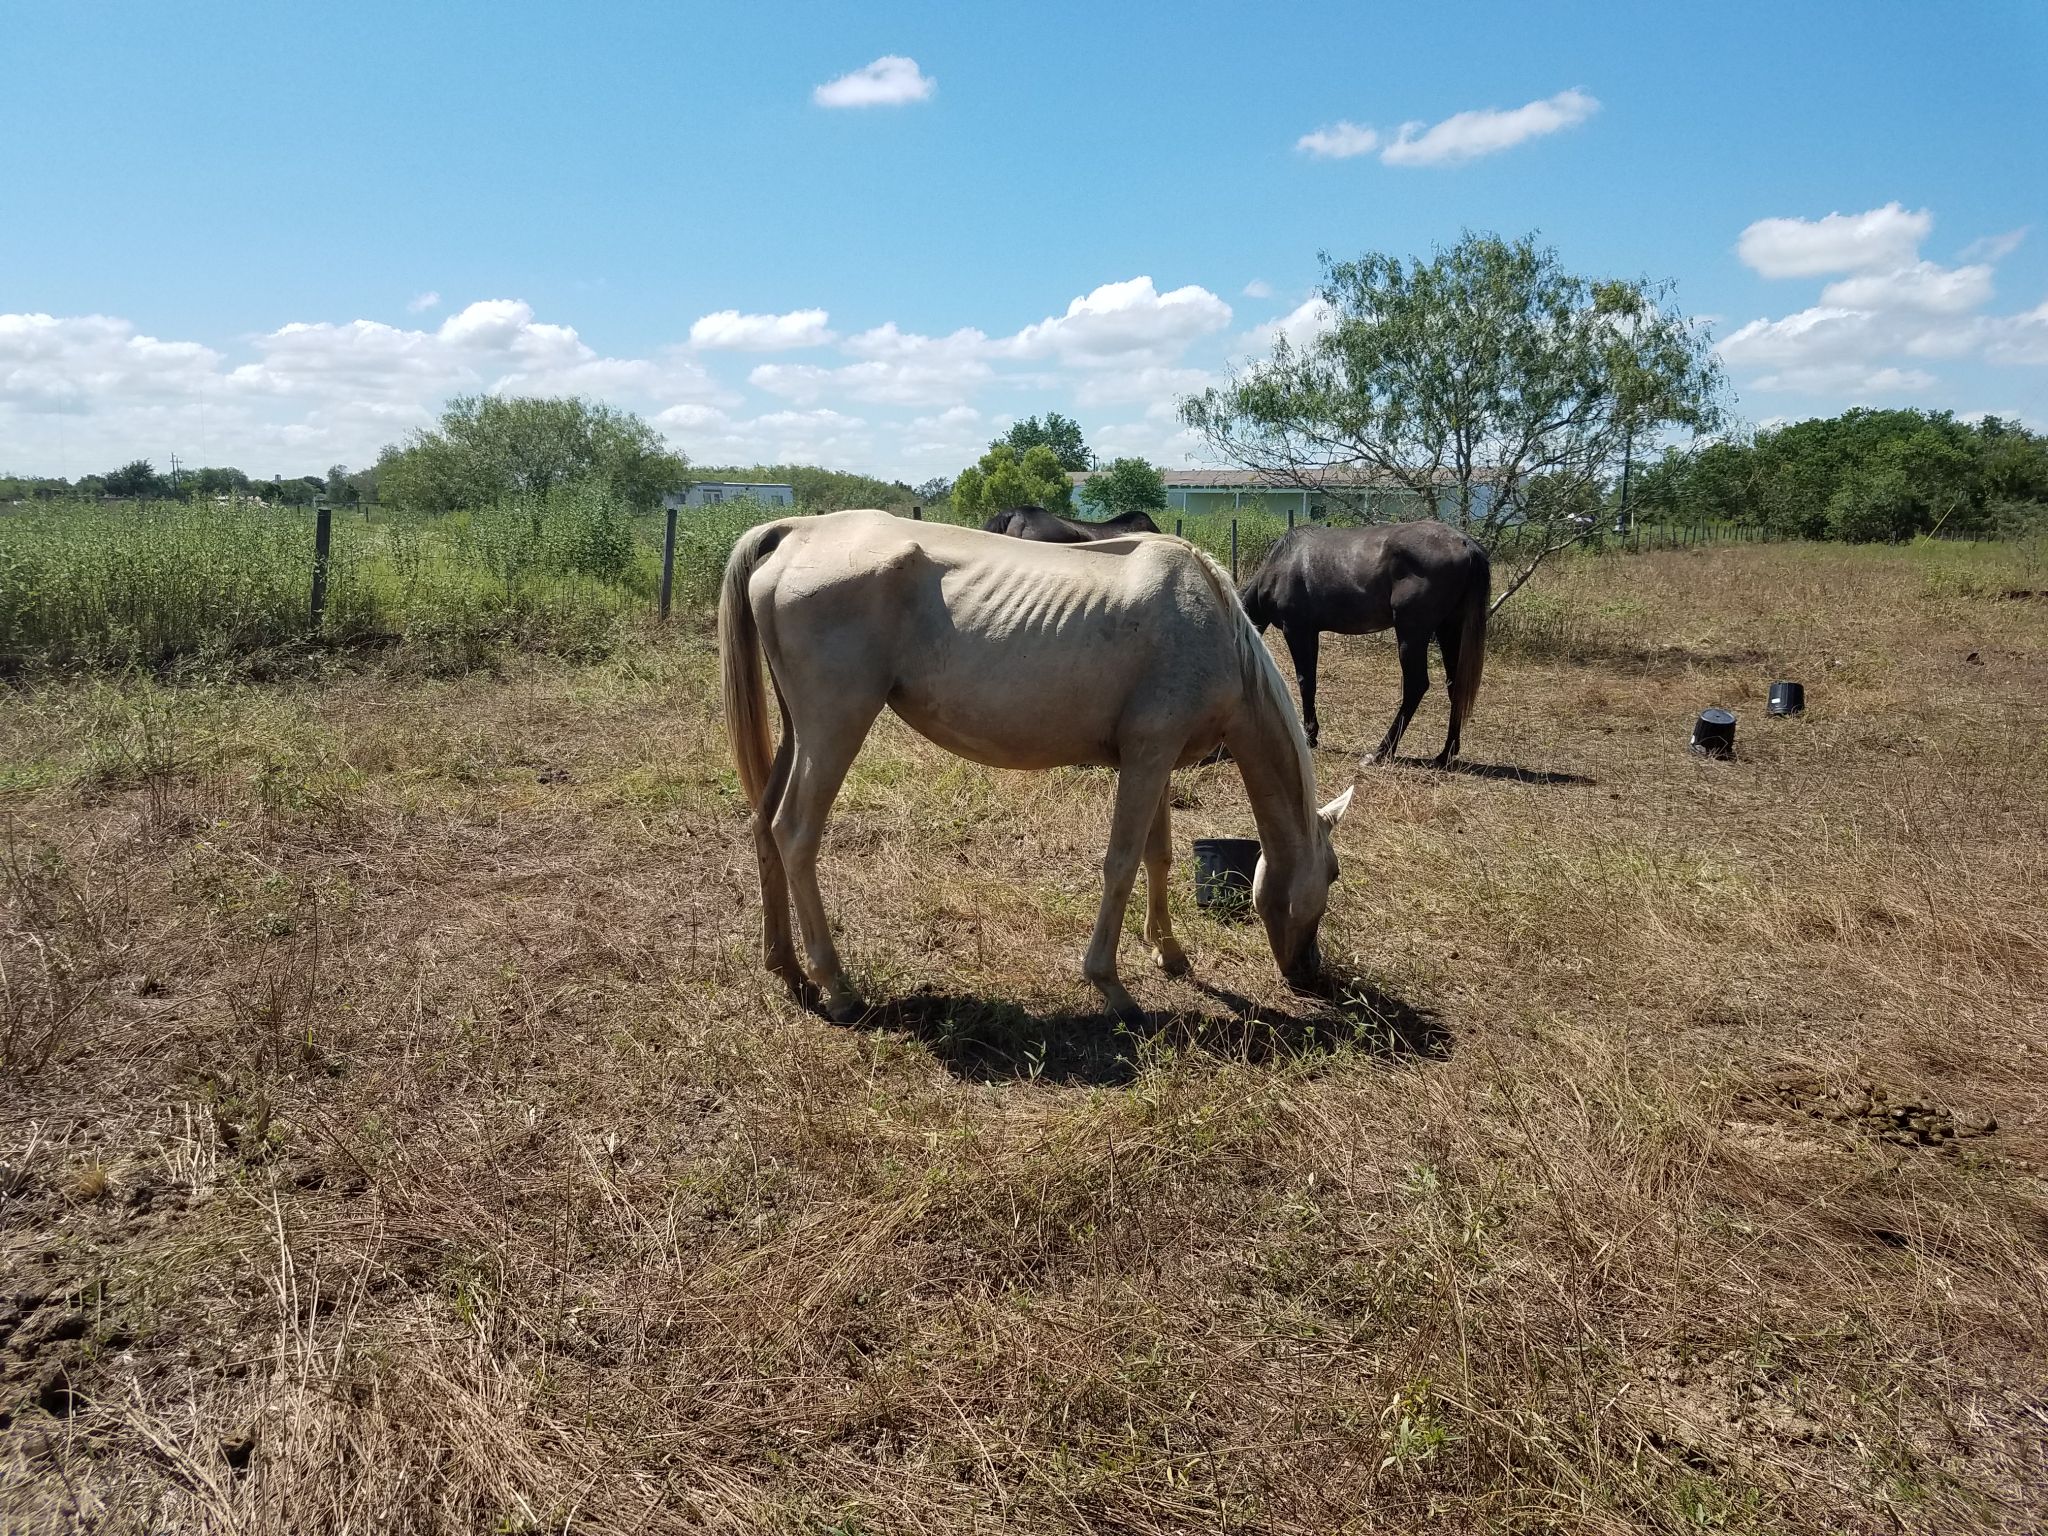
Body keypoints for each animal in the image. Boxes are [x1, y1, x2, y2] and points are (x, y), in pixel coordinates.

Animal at [720, 510, 1353, 1023]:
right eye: (1333, 873)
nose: (1310, 973)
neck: (1212, 627)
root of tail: (795, 530)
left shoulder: (1155, 759)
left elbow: (1158, 855)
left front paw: (1169, 952)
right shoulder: (1148, 757)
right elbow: (1122, 863)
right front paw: (1110, 985)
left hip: (800, 731)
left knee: (762, 824)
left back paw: (787, 968)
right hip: (834, 729)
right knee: (794, 834)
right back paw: (837, 987)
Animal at [1238, 521, 1490, 766]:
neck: (1281, 565)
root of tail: (1466, 544)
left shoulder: (1295, 630)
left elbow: (1304, 681)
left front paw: (1309, 737)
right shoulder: (1311, 633)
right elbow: (1311, 681)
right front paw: (1313, 734)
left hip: (1412, 634)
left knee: (1416, 686)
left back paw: (1380, 752)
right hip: (1449, 629)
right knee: (1455, 685)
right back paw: (1446, 753)